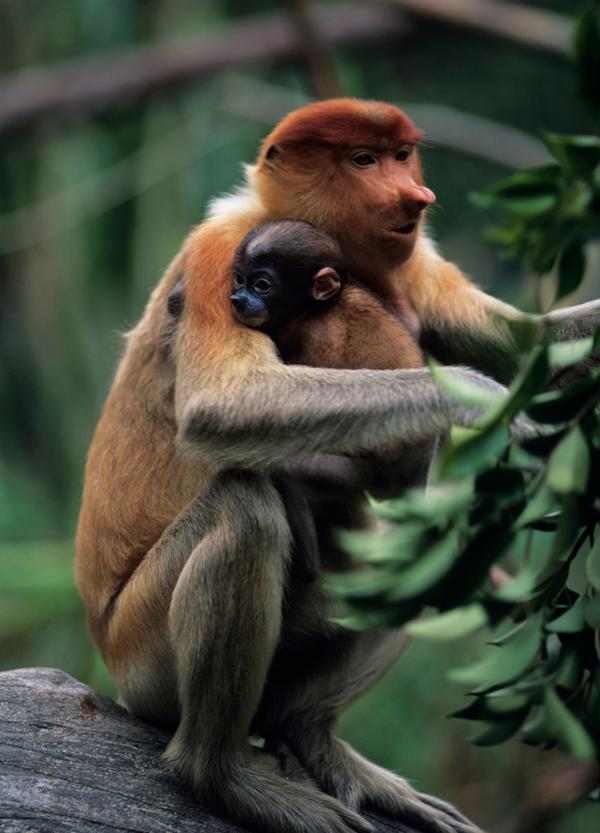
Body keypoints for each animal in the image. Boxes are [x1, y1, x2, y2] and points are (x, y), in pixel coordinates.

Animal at [76, 98, 600, 833]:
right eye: (362, 159)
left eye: (402, 154)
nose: (416, 197)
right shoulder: (219, 257)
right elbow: (221, 406)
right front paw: (481, 402)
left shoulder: (414, 263)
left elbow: (528, 346)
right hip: (144, 657)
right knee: (245, 507)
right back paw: (220, 773)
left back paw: (314, 738)